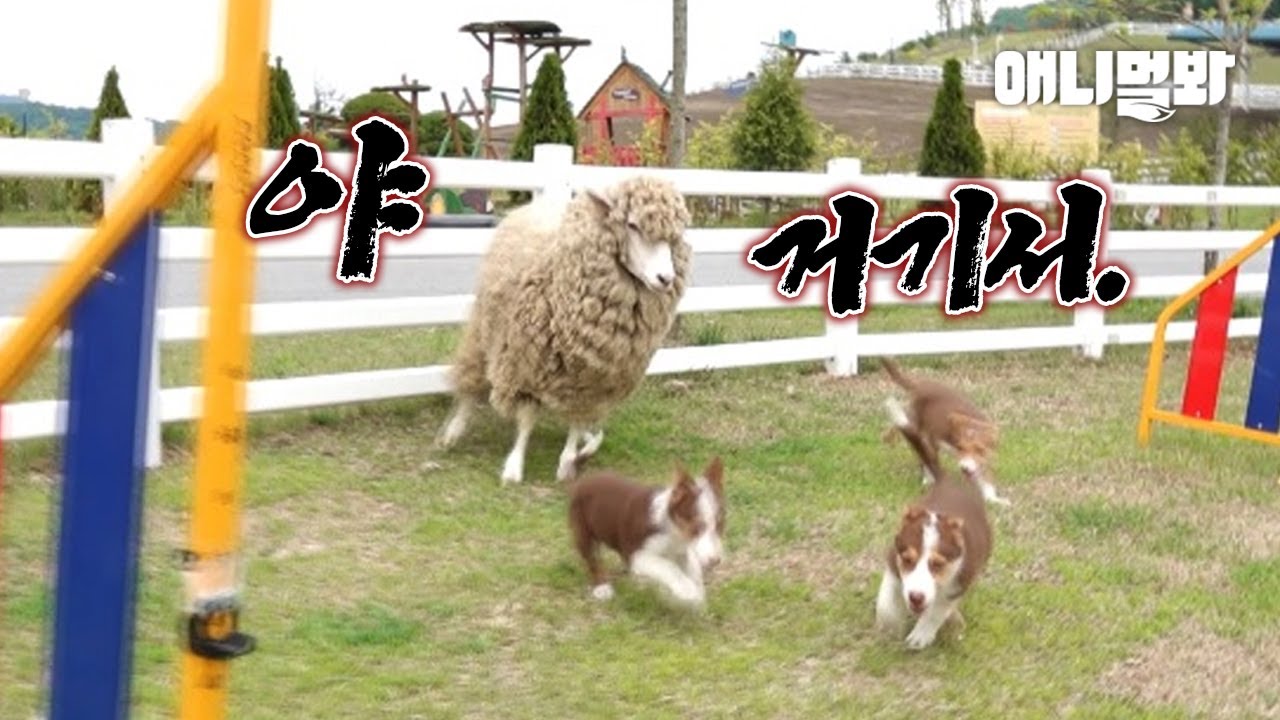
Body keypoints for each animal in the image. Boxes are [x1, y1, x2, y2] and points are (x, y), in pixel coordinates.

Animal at [435, 175, 693, 485]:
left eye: (674, 237)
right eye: (632, 225)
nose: (665, 278)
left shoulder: (592, 380)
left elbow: (577, 421)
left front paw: (569, 460)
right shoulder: (527, 360)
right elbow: (527, 418)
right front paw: (514, 466)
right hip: (487, 327)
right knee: (472, 376)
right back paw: (454, 429)